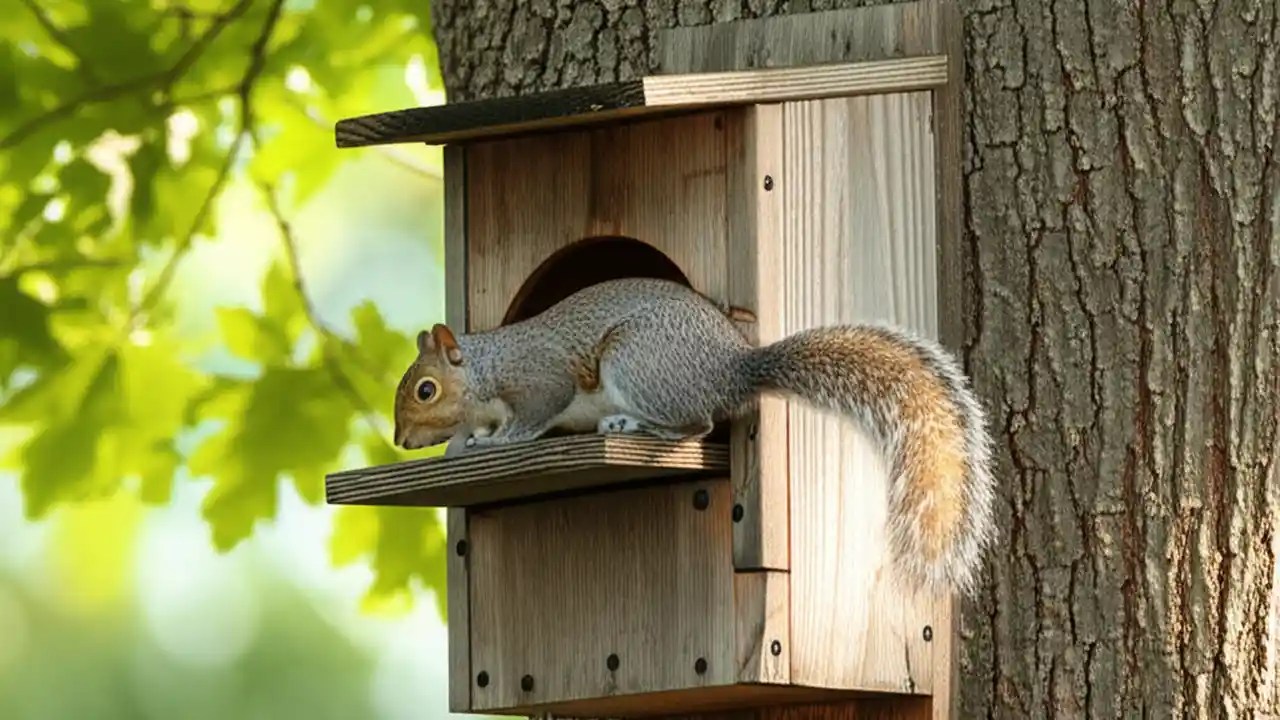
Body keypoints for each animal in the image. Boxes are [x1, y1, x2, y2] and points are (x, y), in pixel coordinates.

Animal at [393, 277, 995, 596]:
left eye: (425, 390)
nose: (400, 440)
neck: (484, 371)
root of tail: (731, 369)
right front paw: (463, 442)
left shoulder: (540, 380)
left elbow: (533, 414)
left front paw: (497, 443)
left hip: (639, 364)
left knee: (698, 425)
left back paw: (629, 424)